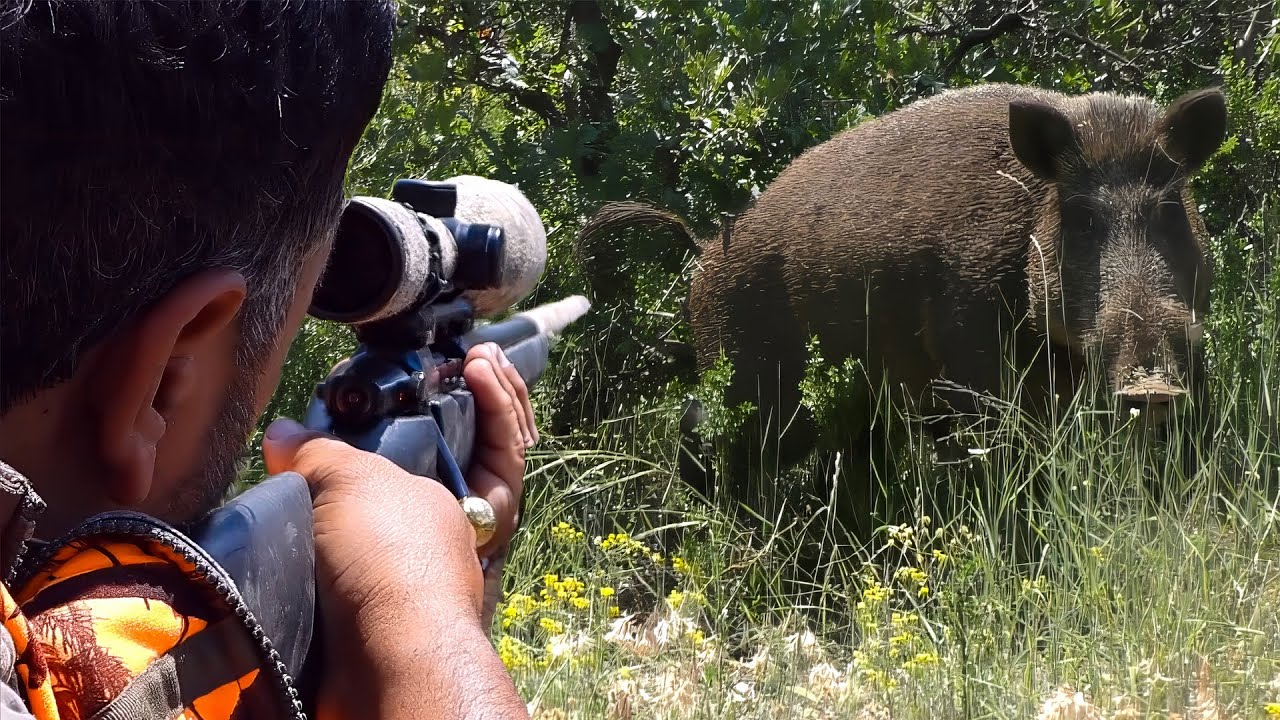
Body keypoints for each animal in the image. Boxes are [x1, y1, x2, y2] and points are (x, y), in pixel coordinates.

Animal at [579, 82, 1227, 520]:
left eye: (1170, 210)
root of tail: (702, 255)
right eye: (1084, 217)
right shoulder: (969, 362)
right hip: (752, 379)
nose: (1154, 387)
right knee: (707, 436)